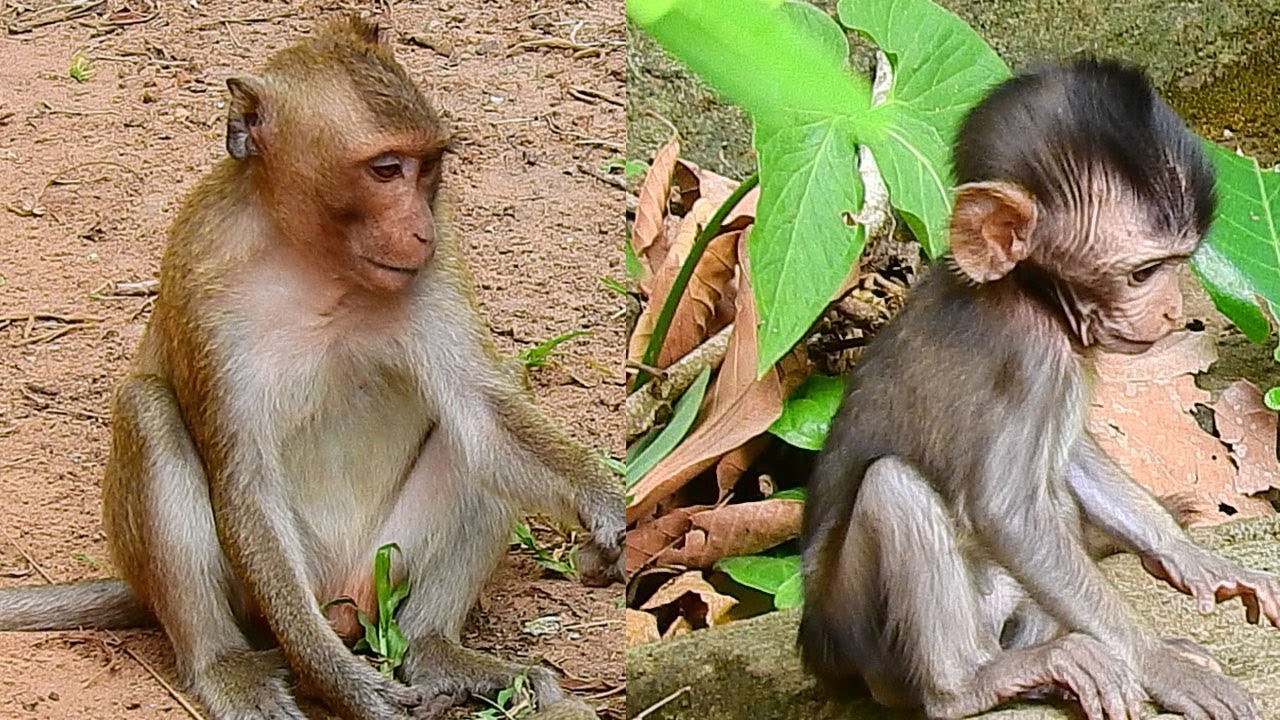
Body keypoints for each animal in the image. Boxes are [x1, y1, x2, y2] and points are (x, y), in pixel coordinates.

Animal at [0, 16, 622, 720]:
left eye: (429, 167)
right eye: (386, 170)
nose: (421, 229)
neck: (318, 259)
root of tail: (339, 596)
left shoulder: (438, 266)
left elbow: (483, 411)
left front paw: (609, 510)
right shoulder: (202, 280)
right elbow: (244, 482)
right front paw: (345, 686)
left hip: (387, 561)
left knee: (473, 434)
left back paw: (434, 648)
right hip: (258, 596)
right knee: (148, 410)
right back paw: (227, 666)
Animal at [799, 58, 1280, 720]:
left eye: (1182, 260)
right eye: (1143, 273)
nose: (1173, 311)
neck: (1028, 291)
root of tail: (820, 656)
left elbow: (1069, 456)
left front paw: (1193, 558)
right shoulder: (1033, 356)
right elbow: (1007, 512)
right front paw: (1159, 664)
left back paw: (1048, 663)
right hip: (862, 637)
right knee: (895, 487)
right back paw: (969, 684)